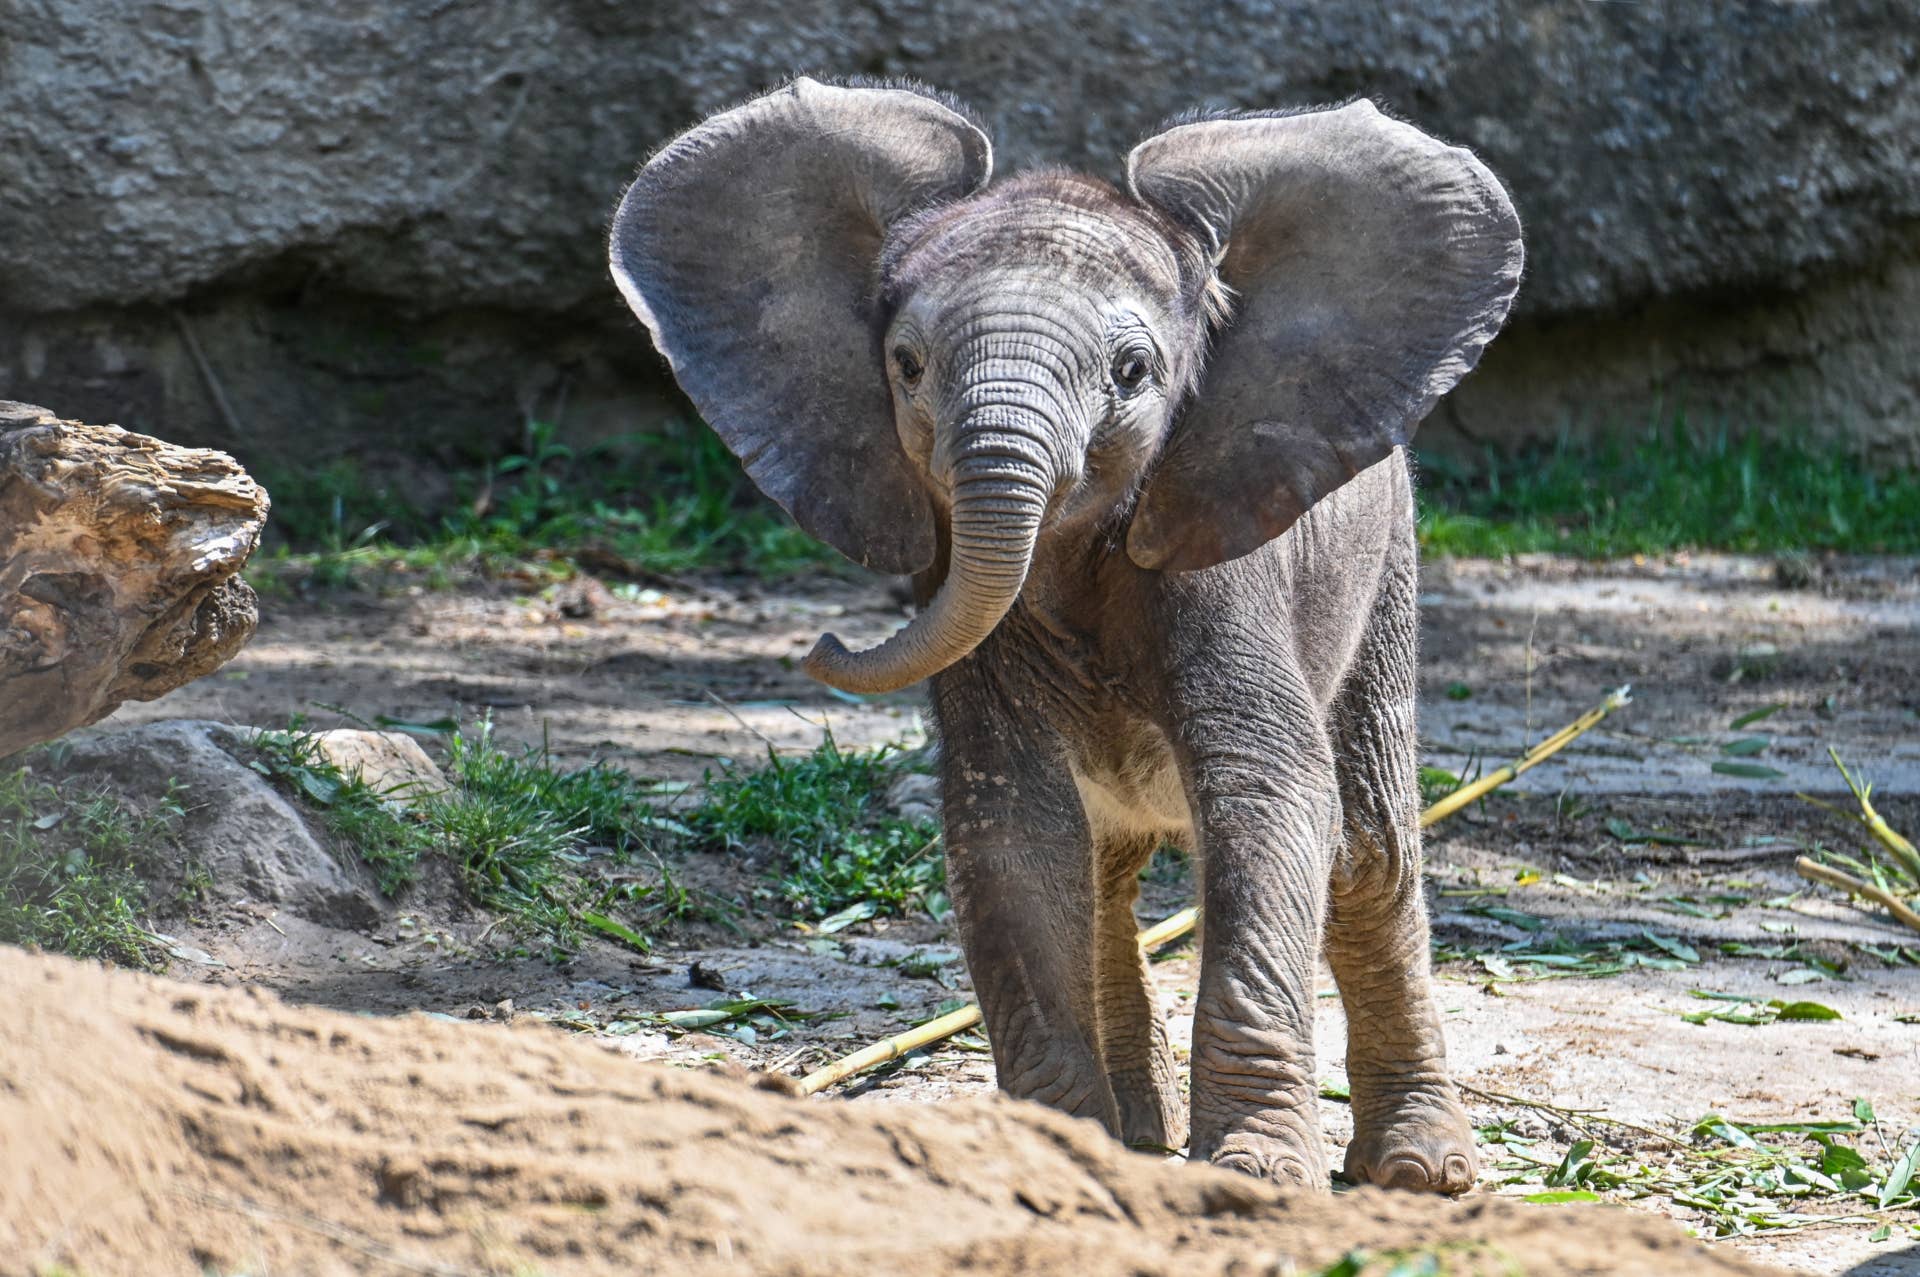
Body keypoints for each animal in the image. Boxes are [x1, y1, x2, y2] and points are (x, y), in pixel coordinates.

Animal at [609, 77, 1522, 1192]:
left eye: (1133, 371)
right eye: (906, 365)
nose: (820, 643)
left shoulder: (1219, 544)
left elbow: (1270, 798)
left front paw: (1252, 1175)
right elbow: (1011, 827)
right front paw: (1049, 1149)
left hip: (1388, 565)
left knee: (1368, 854)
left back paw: (1422, 1170)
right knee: (1106, 871)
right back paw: (1135, 1131)